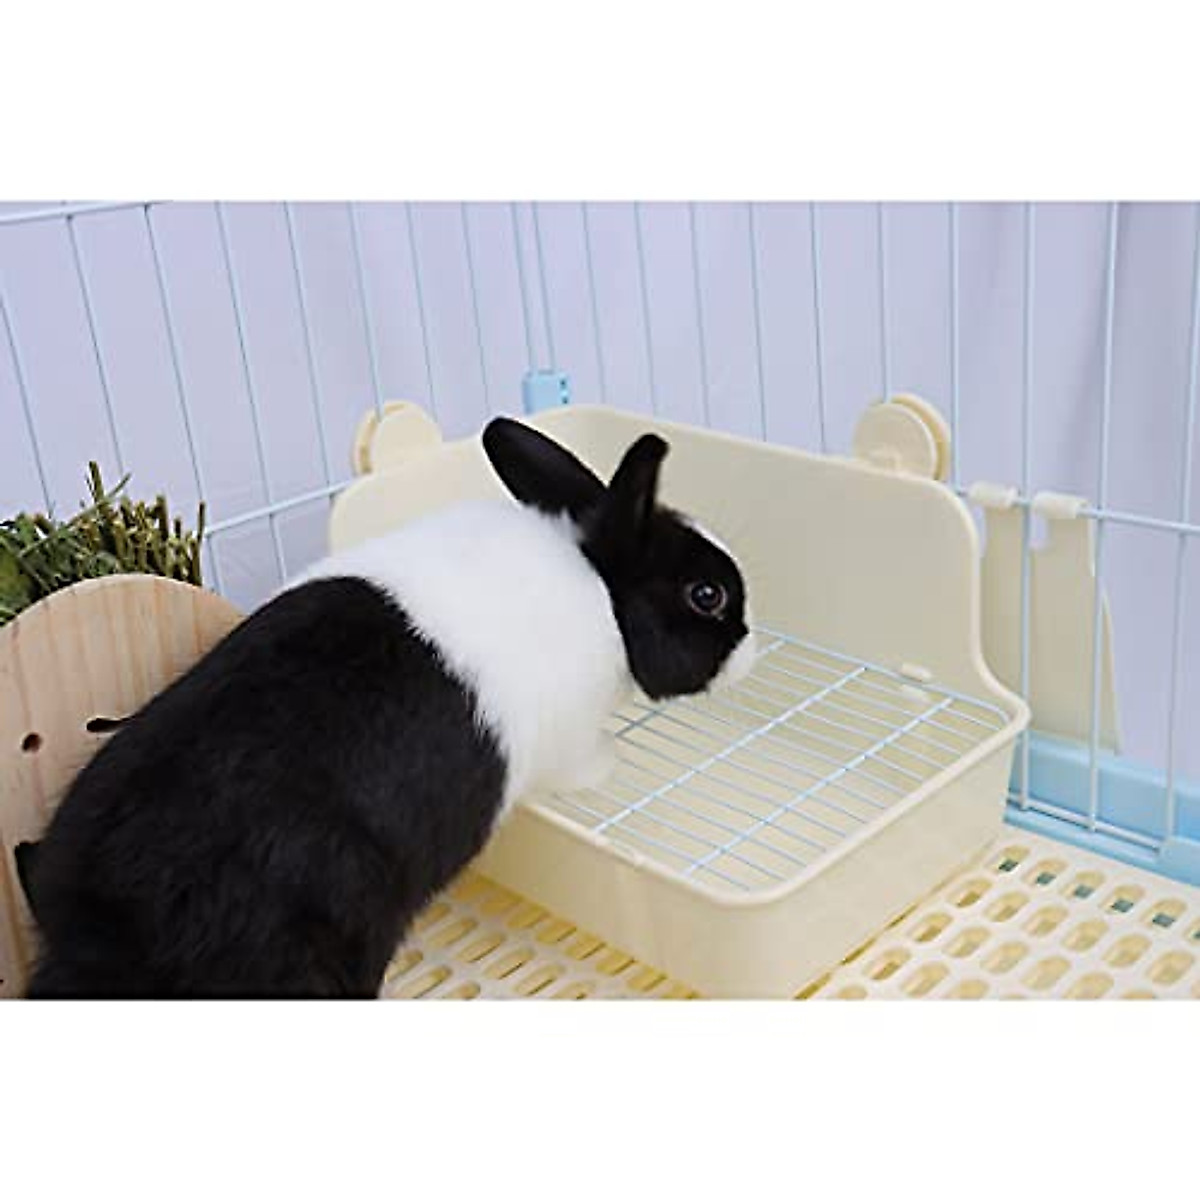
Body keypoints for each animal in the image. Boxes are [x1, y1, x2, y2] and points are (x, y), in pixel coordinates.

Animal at [17, 417, 754, 999]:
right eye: (707, 596)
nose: (750, 644)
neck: (602, 584)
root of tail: (113, 926)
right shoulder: (569, 739)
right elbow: (587, 764)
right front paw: (613, 763)